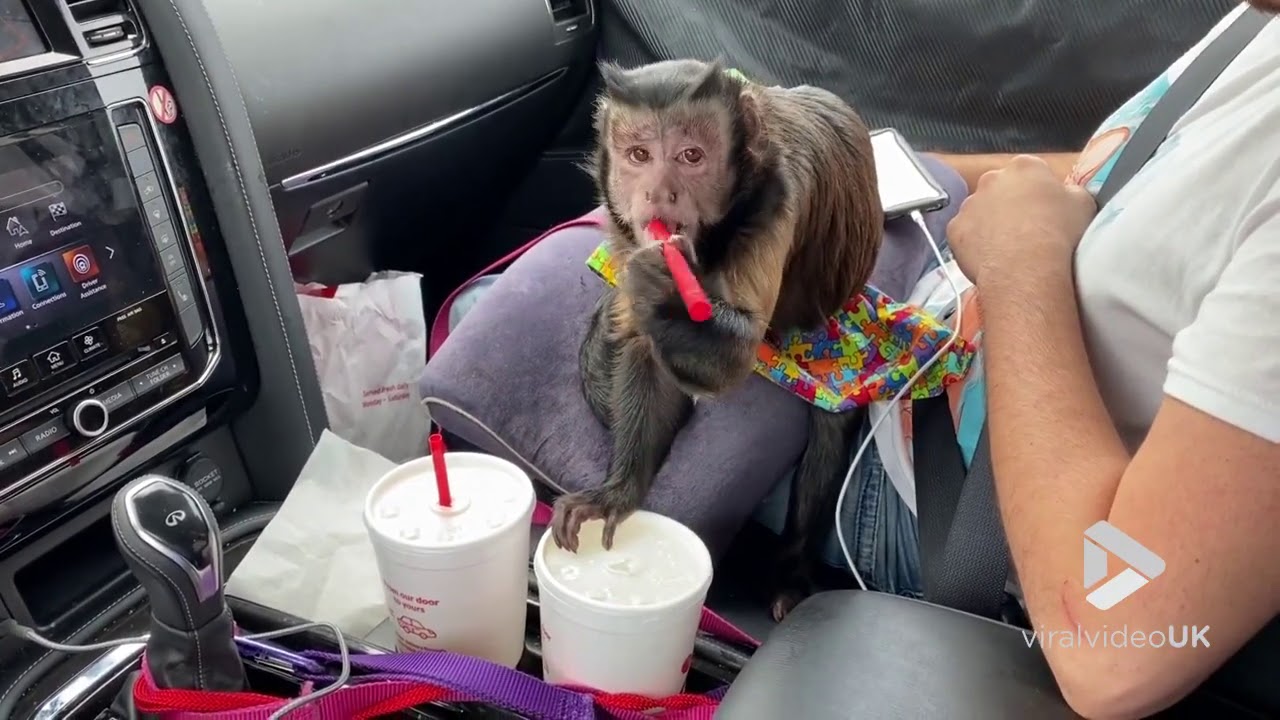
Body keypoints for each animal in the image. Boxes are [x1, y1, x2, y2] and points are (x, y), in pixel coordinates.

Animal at [550, 59, 884, 621]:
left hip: (833, 340)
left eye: (691, 156)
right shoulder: (627, 234)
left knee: (829, 436)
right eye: (640, 156)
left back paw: (791, 575)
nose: (659, 194)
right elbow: (646, 350)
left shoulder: (777, 204)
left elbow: (734, 360)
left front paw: (669, 291)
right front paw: (619, 494)